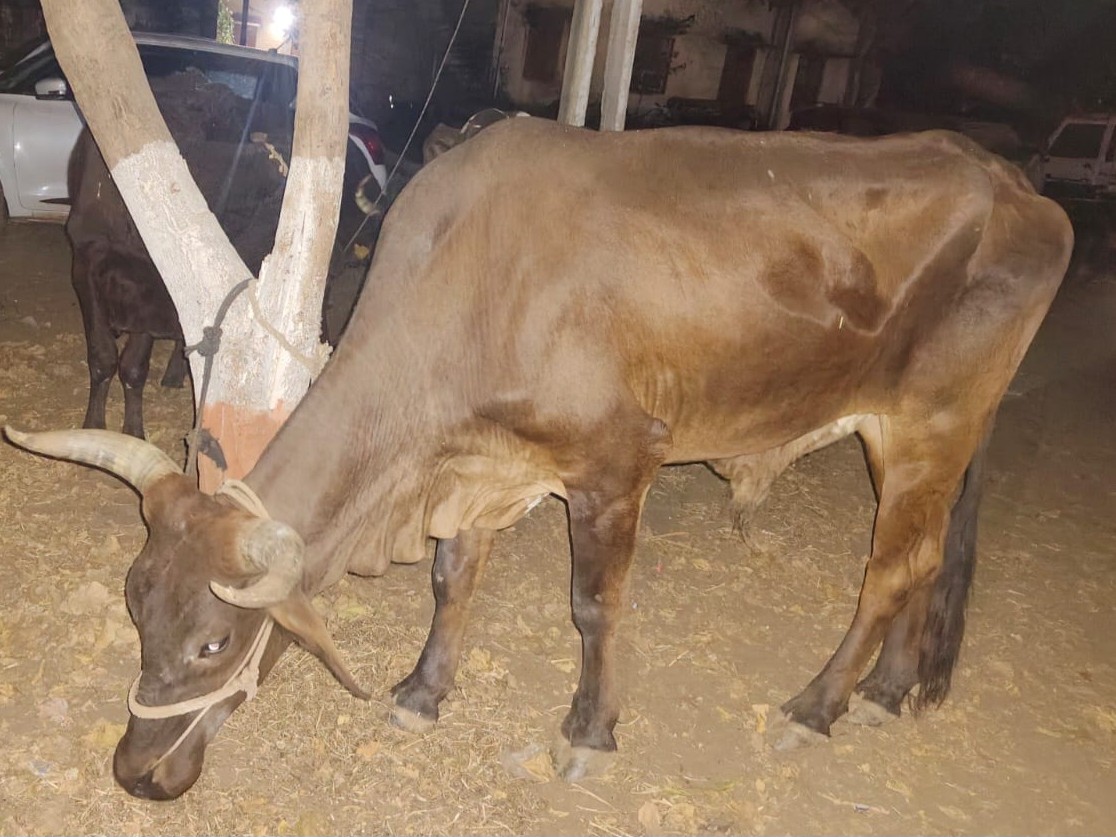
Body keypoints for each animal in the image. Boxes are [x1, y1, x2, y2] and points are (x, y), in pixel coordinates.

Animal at [7, 117, 1073, 800]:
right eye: (135, 606)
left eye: (214, 643)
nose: (137, 773)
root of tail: (1020, 187)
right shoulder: (481, 470)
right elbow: (452, 581)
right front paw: (422, 692)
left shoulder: (616, 467)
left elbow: (593, 606)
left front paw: (589, 732)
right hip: (929, 438)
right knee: (926, 559)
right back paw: (887, 690)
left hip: (928, 422)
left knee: (890, 568)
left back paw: (817, 705)